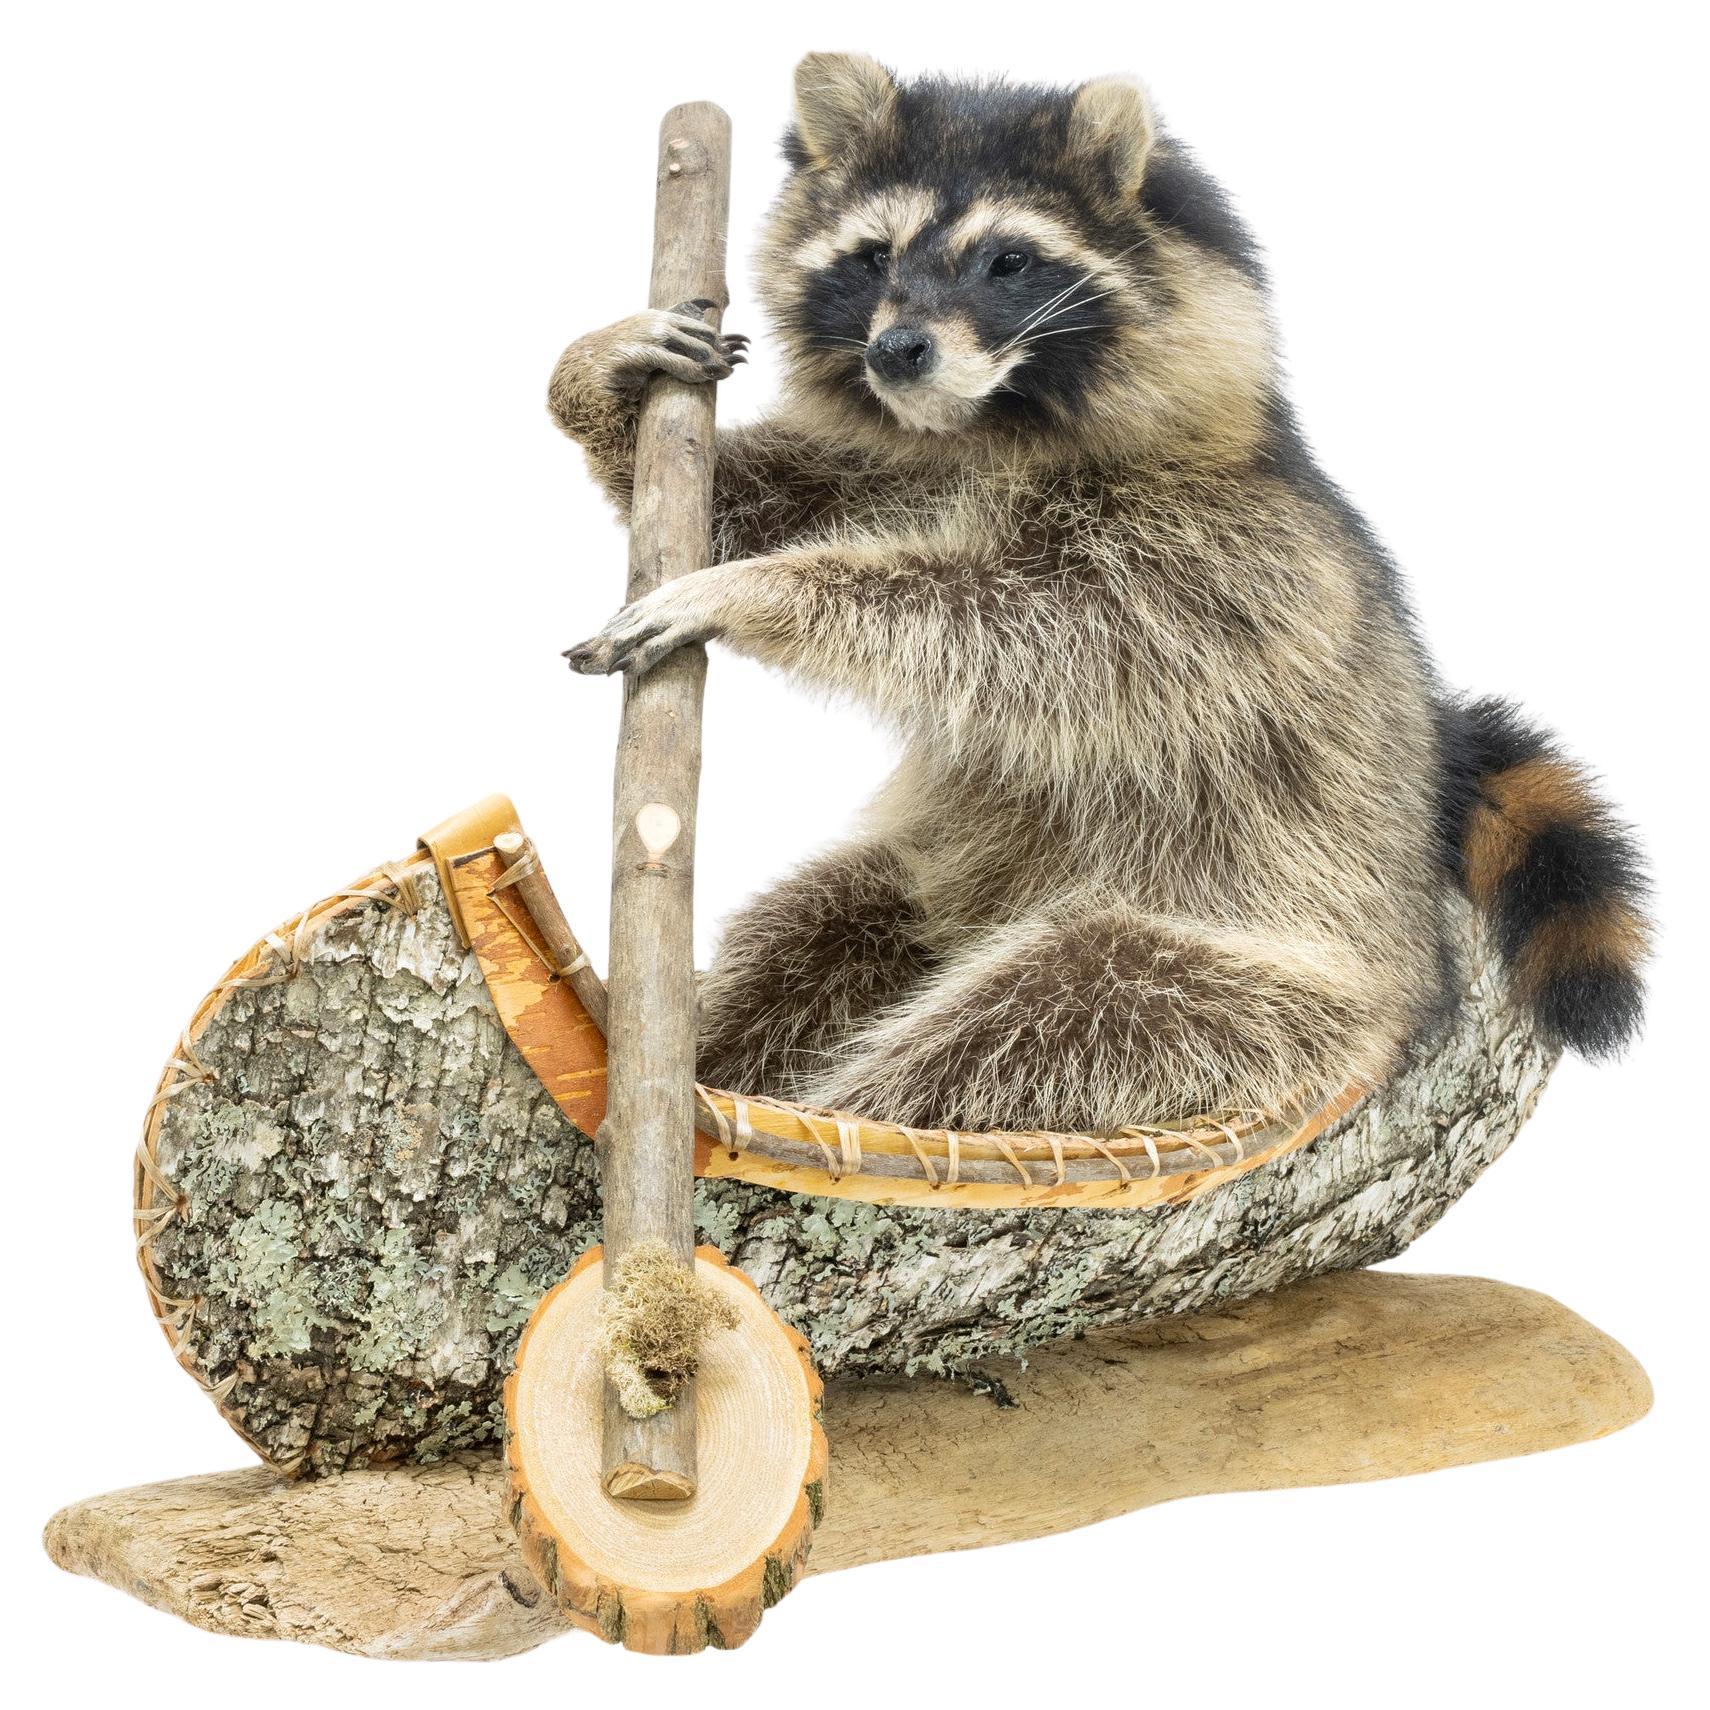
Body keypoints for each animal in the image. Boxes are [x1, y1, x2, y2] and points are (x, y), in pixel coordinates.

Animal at [553, 53, 1650, 1132]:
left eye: (1008, 261)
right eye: (872, 256)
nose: (896, 351)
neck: (991, 425)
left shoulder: (1219, 563)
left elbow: (1027, 625)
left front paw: (761, 589)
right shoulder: (895, 467)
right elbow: (761, 497)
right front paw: (596, 380)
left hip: (1263, 981)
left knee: (1041, 1017)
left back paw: (831, 1116)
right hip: (939, 878)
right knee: (818, 924)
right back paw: (716, 1067)